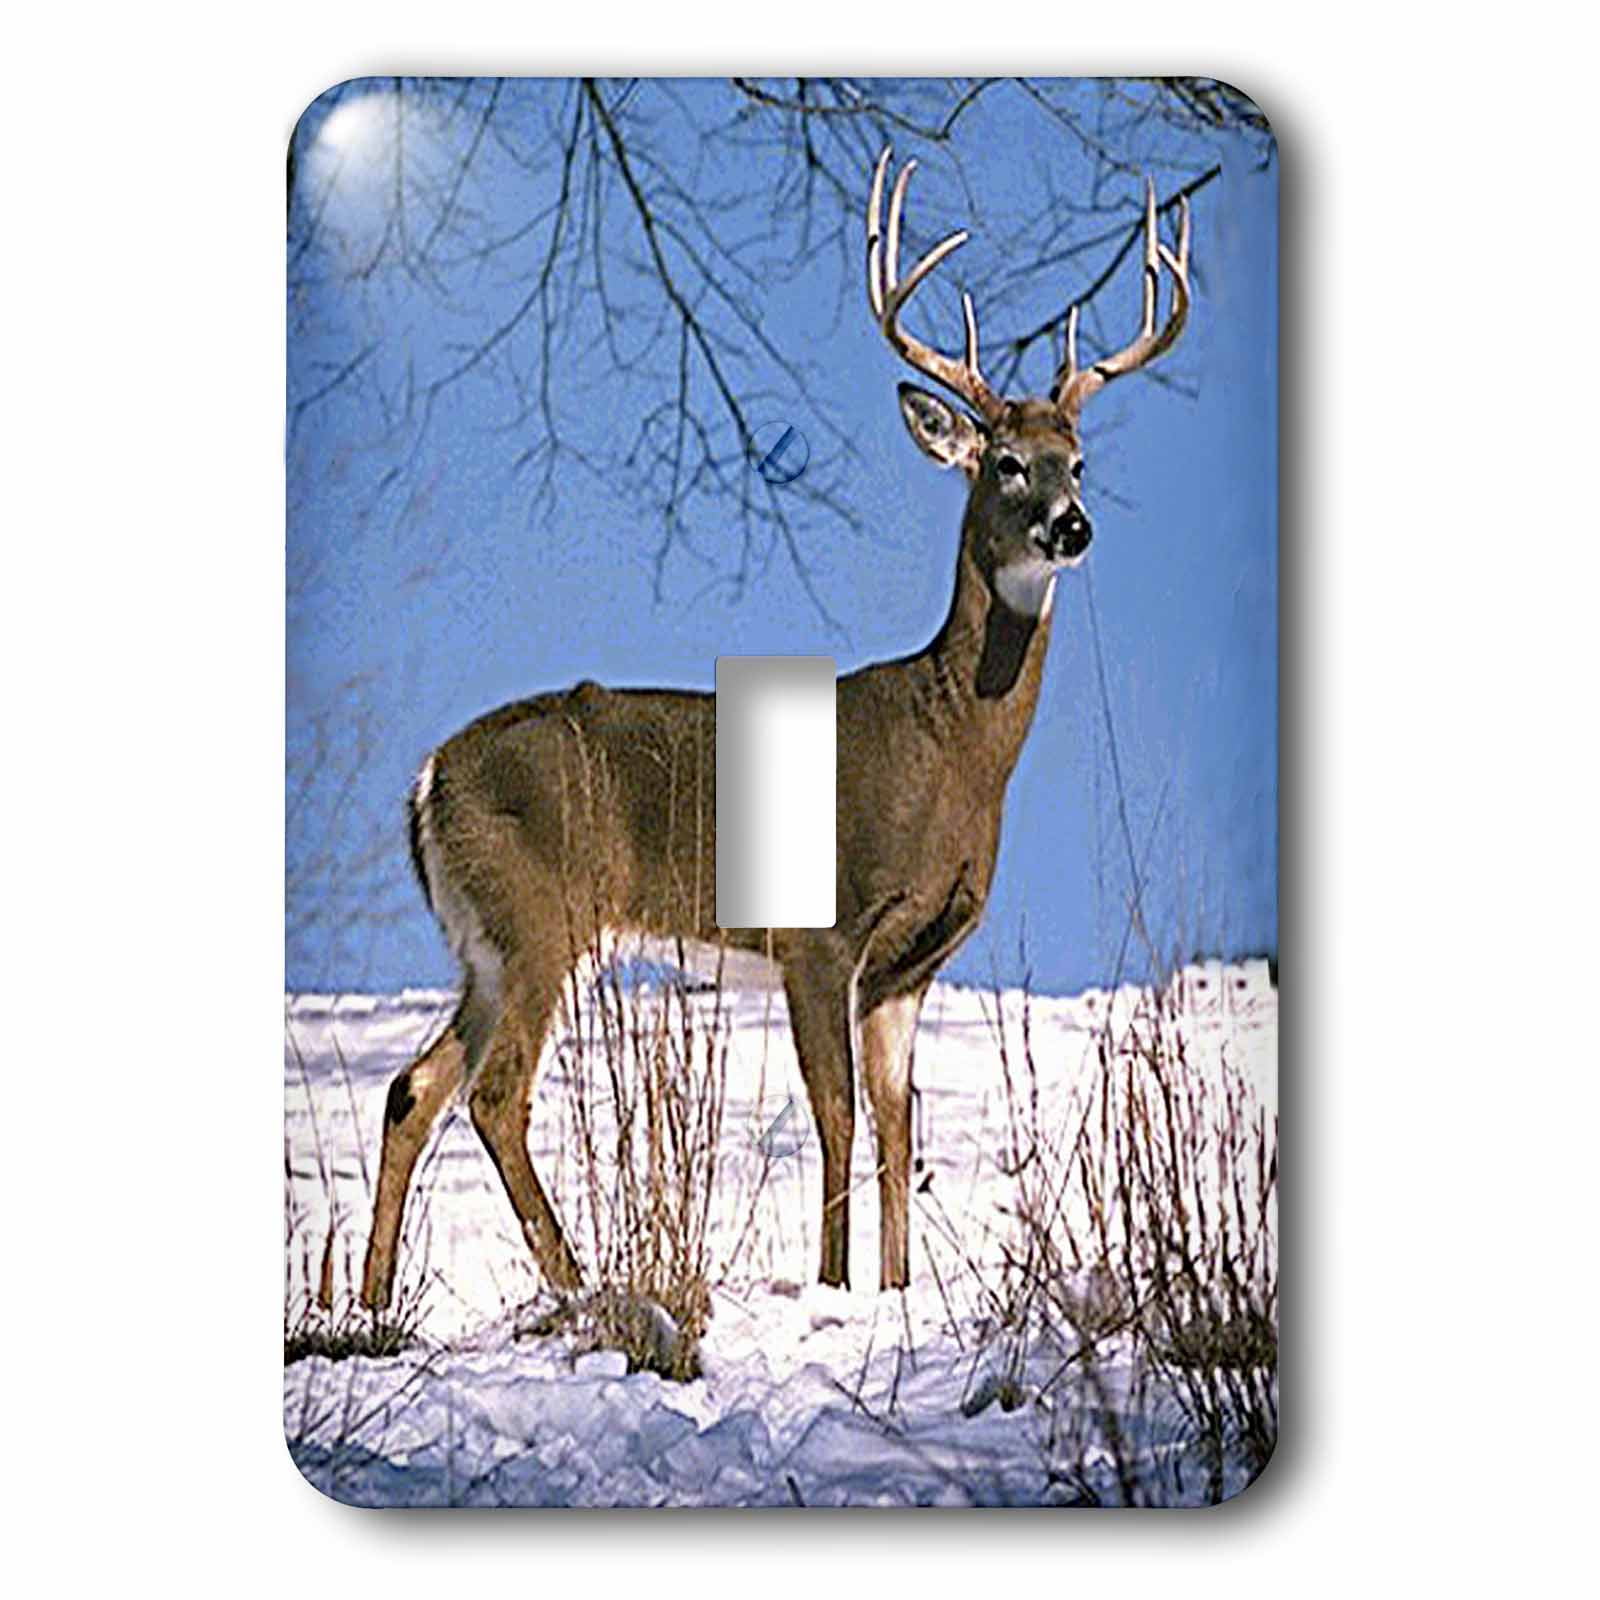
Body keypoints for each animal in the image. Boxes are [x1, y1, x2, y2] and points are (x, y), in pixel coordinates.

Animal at [355, 148, 1191, 1309]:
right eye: (1003, 463)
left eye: (1079, 459)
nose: (1072, 527)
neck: (947, 745)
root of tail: (428, 777)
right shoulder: (819, 931)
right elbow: (835, 1118)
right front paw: (836, 1287)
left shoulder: (911, 961)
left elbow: (897, 1126)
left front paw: (894, 1291)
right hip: (539, 915)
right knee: (493, 1091)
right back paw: (581, 1284)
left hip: (484, 938)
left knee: (415, 1085)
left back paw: (368, 1299)